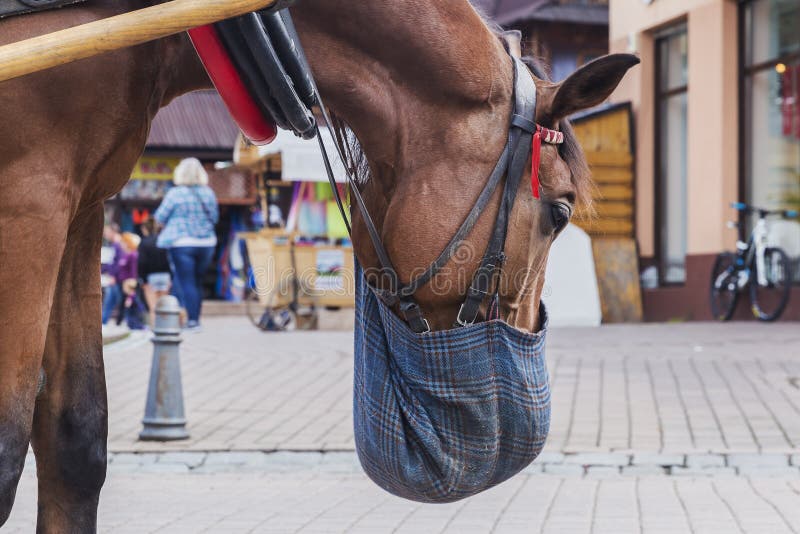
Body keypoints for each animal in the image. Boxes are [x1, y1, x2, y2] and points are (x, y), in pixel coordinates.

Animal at [0, 0, 637, 529]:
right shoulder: (29, 199)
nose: (512, 438)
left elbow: (76, 443)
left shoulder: (81, 207)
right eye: (560, 211)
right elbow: (8, 453)